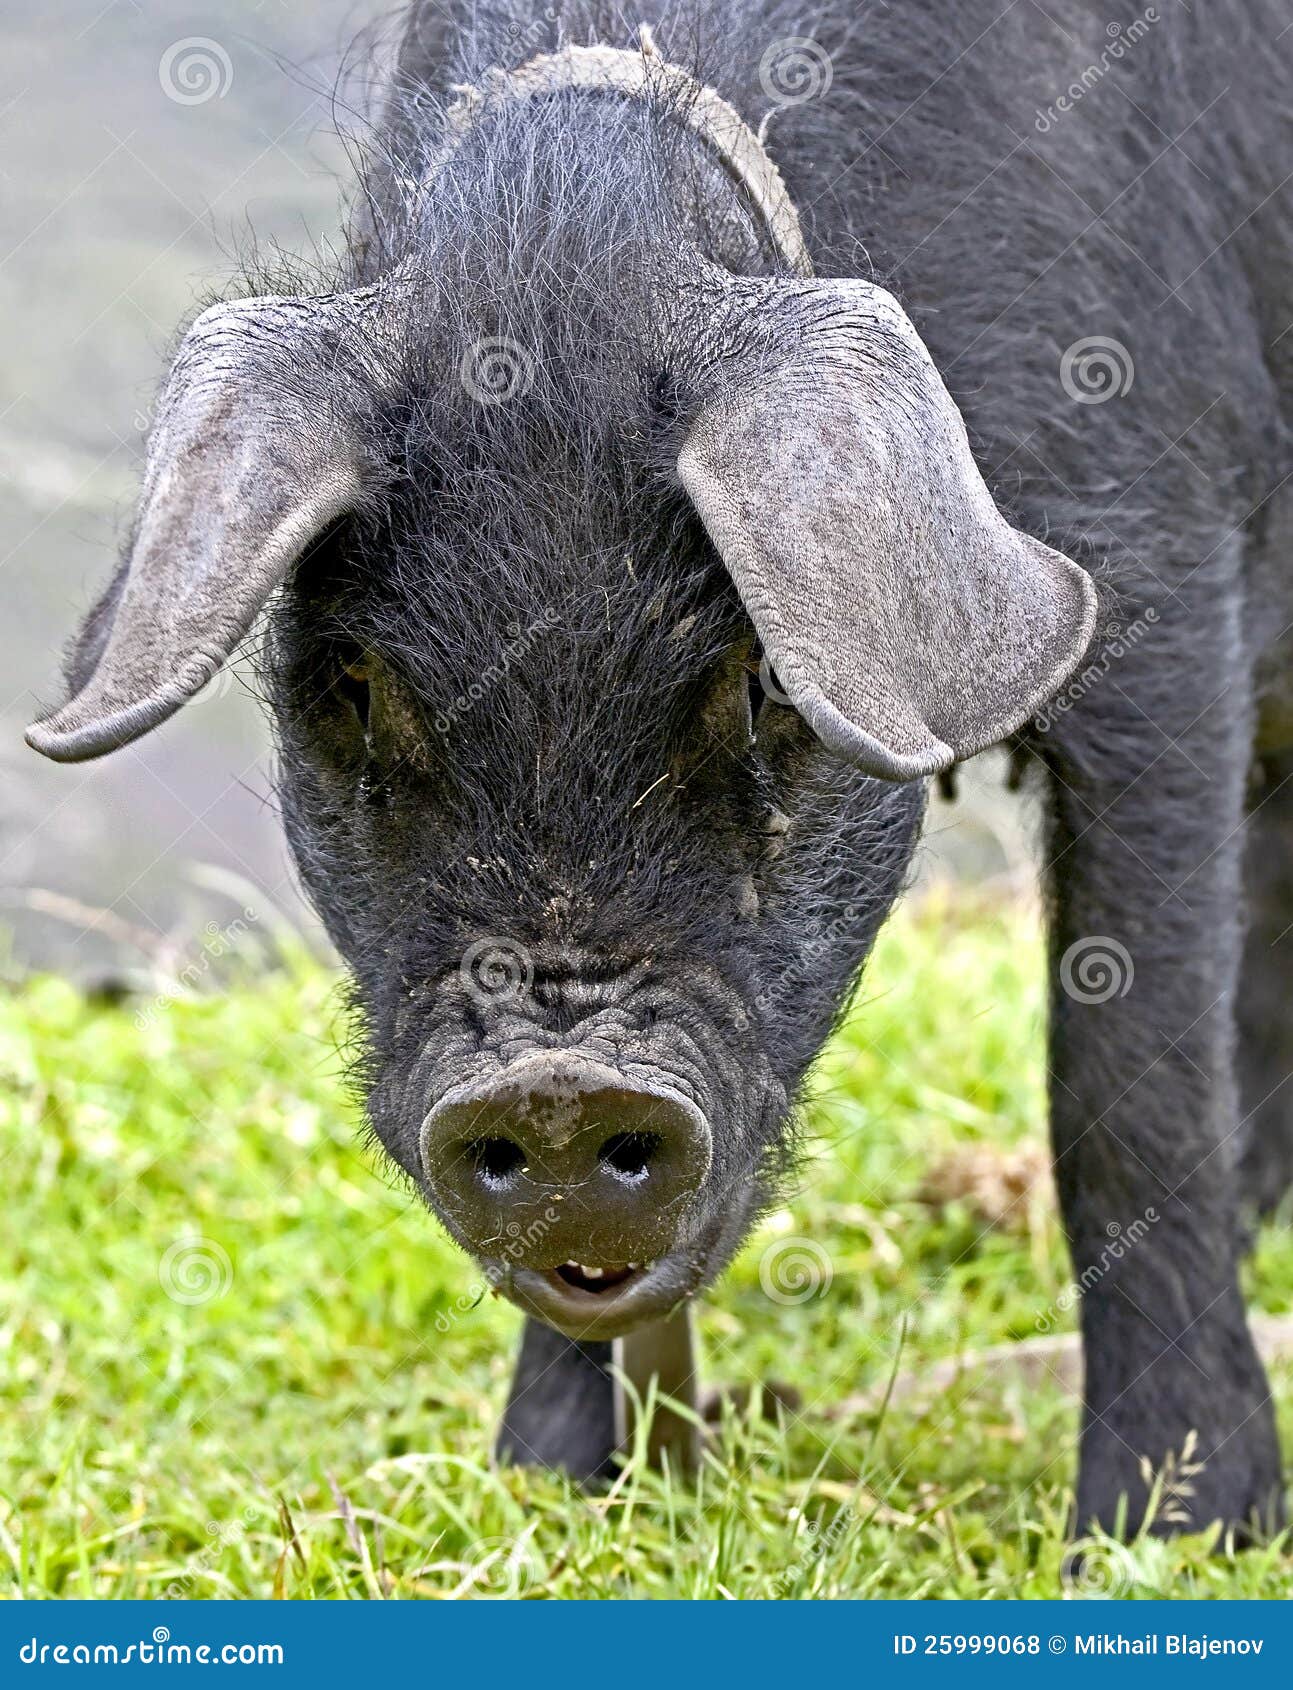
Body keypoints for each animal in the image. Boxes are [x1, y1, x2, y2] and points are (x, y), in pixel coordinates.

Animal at [27, 0, 1293, 1539]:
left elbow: (1123, 1077)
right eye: (359, 688)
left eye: (761, 681)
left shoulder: (1165, 559)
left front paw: (1174, 1527)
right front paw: (548, 1482)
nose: (558, 1090)